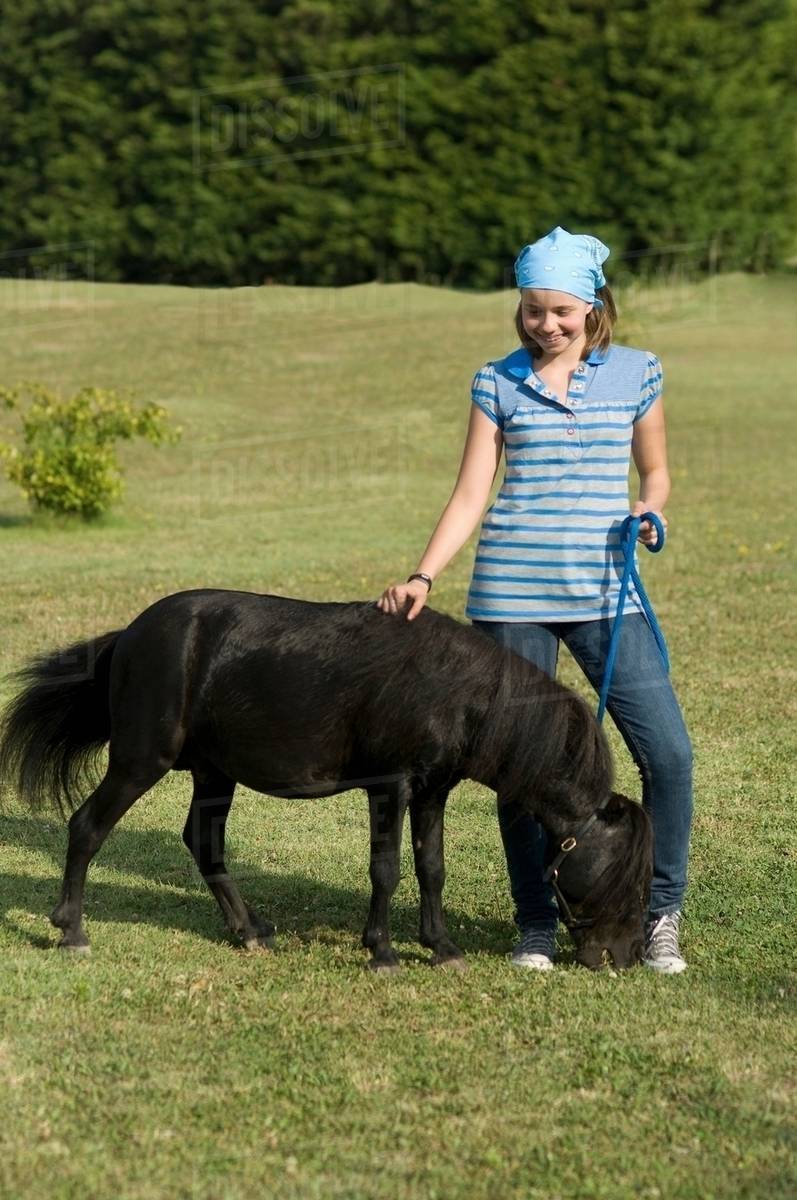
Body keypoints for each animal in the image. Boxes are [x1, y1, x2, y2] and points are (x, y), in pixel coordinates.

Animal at [0, 589, 653, 970]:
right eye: (628, 878)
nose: (623, 956)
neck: (454, 691)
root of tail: (132, 634)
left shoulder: (433, 792)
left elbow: (431, 868)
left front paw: (440, 947)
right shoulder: (389, 786)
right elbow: (387, 870)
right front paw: (382, 950)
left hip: (213, 773)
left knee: (204, 844)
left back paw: (249, 929)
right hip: (141, 761)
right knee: (87, 827)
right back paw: (71, 930)